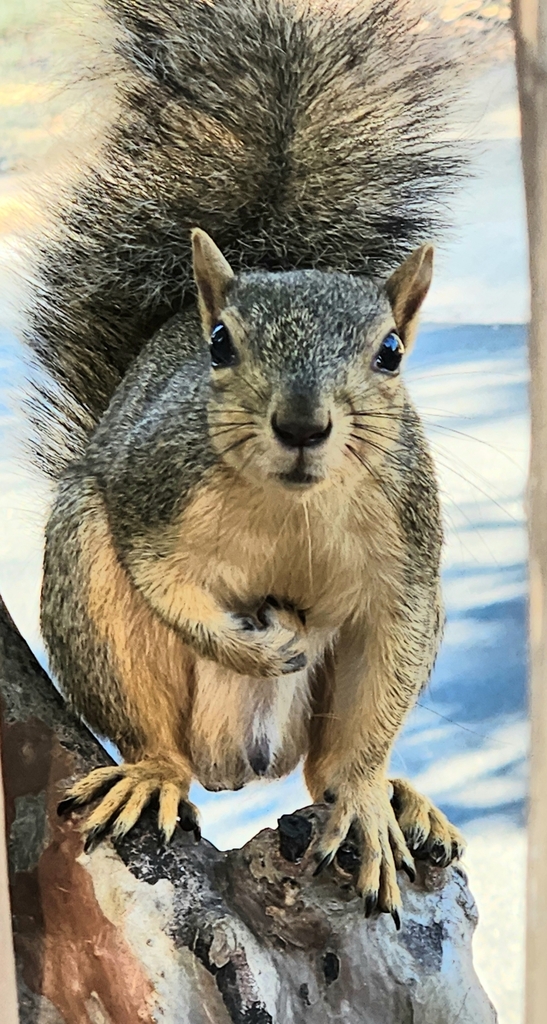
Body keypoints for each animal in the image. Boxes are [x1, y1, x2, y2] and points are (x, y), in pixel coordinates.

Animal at [23, 0, 466, 924]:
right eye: (221, 344)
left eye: (392, 353)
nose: (300, 424)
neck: (289, 505)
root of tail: (239, 759)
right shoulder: (152, 487)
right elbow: (162, 581)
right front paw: (256, 650)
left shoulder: (408, 563)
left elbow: (387, 666)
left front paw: (366, 796)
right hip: (90, 591)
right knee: (152, 727)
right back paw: (153, 771)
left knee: (326, 766)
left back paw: (392, 797)